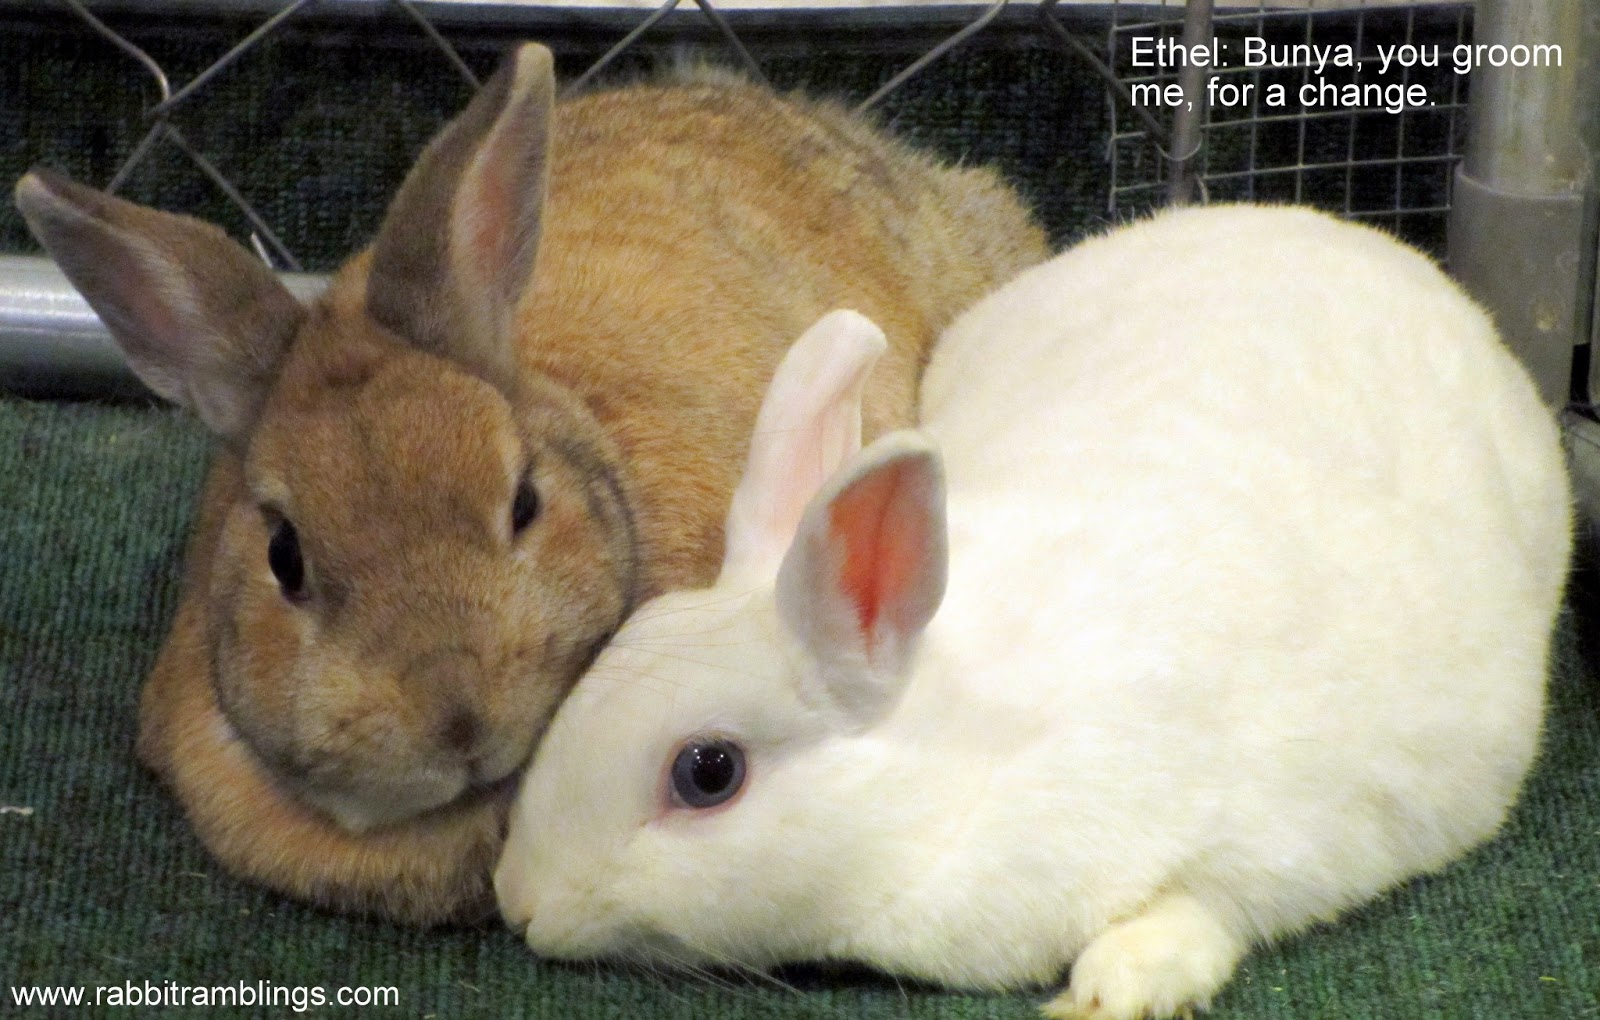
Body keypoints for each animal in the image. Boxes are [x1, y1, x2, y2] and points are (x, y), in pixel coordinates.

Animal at [494, 204, 1573, 1019]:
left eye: (707, 773)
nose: (518, 904)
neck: (960, 756)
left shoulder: (1275, 836)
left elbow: (1203, 909)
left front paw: (1109, 991)